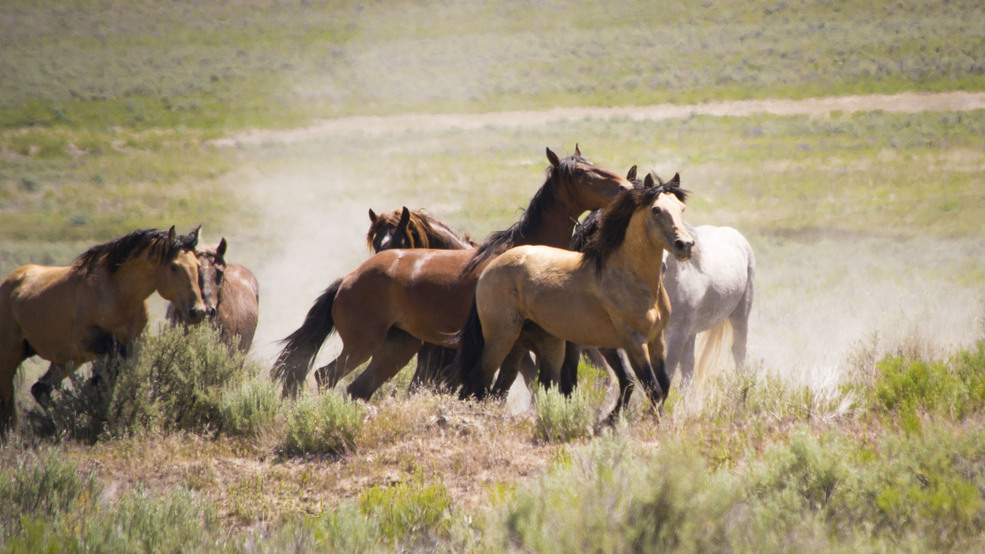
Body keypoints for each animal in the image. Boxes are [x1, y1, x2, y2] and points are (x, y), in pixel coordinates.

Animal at [0, 226, 207, 438]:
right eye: (174, 267)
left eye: (197, 266)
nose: (197, 312)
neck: (119, 293)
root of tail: (10, 281)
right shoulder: (89, 341)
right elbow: (112, 364)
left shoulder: (127, 343)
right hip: (10, 356)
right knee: (8, 399)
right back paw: (13, 434)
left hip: (65, 360)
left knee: (40, 389)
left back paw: (60, 426)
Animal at [274, 145, 634, 399]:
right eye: (583, 173)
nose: (626, 187)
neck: (523, 255)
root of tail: (347, 280)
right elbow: (491, 387)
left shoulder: (518, 346)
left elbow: (503, 388)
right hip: (363, 345)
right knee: (325, 377)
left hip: (398, 347)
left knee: (357, 389)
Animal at [456, 174, 694, 417]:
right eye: (656, 210)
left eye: (681, 208)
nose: (685, 245)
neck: (628, 276)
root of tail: (489, 269)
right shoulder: (633, 341)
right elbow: (651, 388)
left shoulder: (656, 339)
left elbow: (662, 385)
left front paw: (619, 417)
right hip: (501, 337)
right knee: (480, 376)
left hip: (532, 343)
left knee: (509, 382)